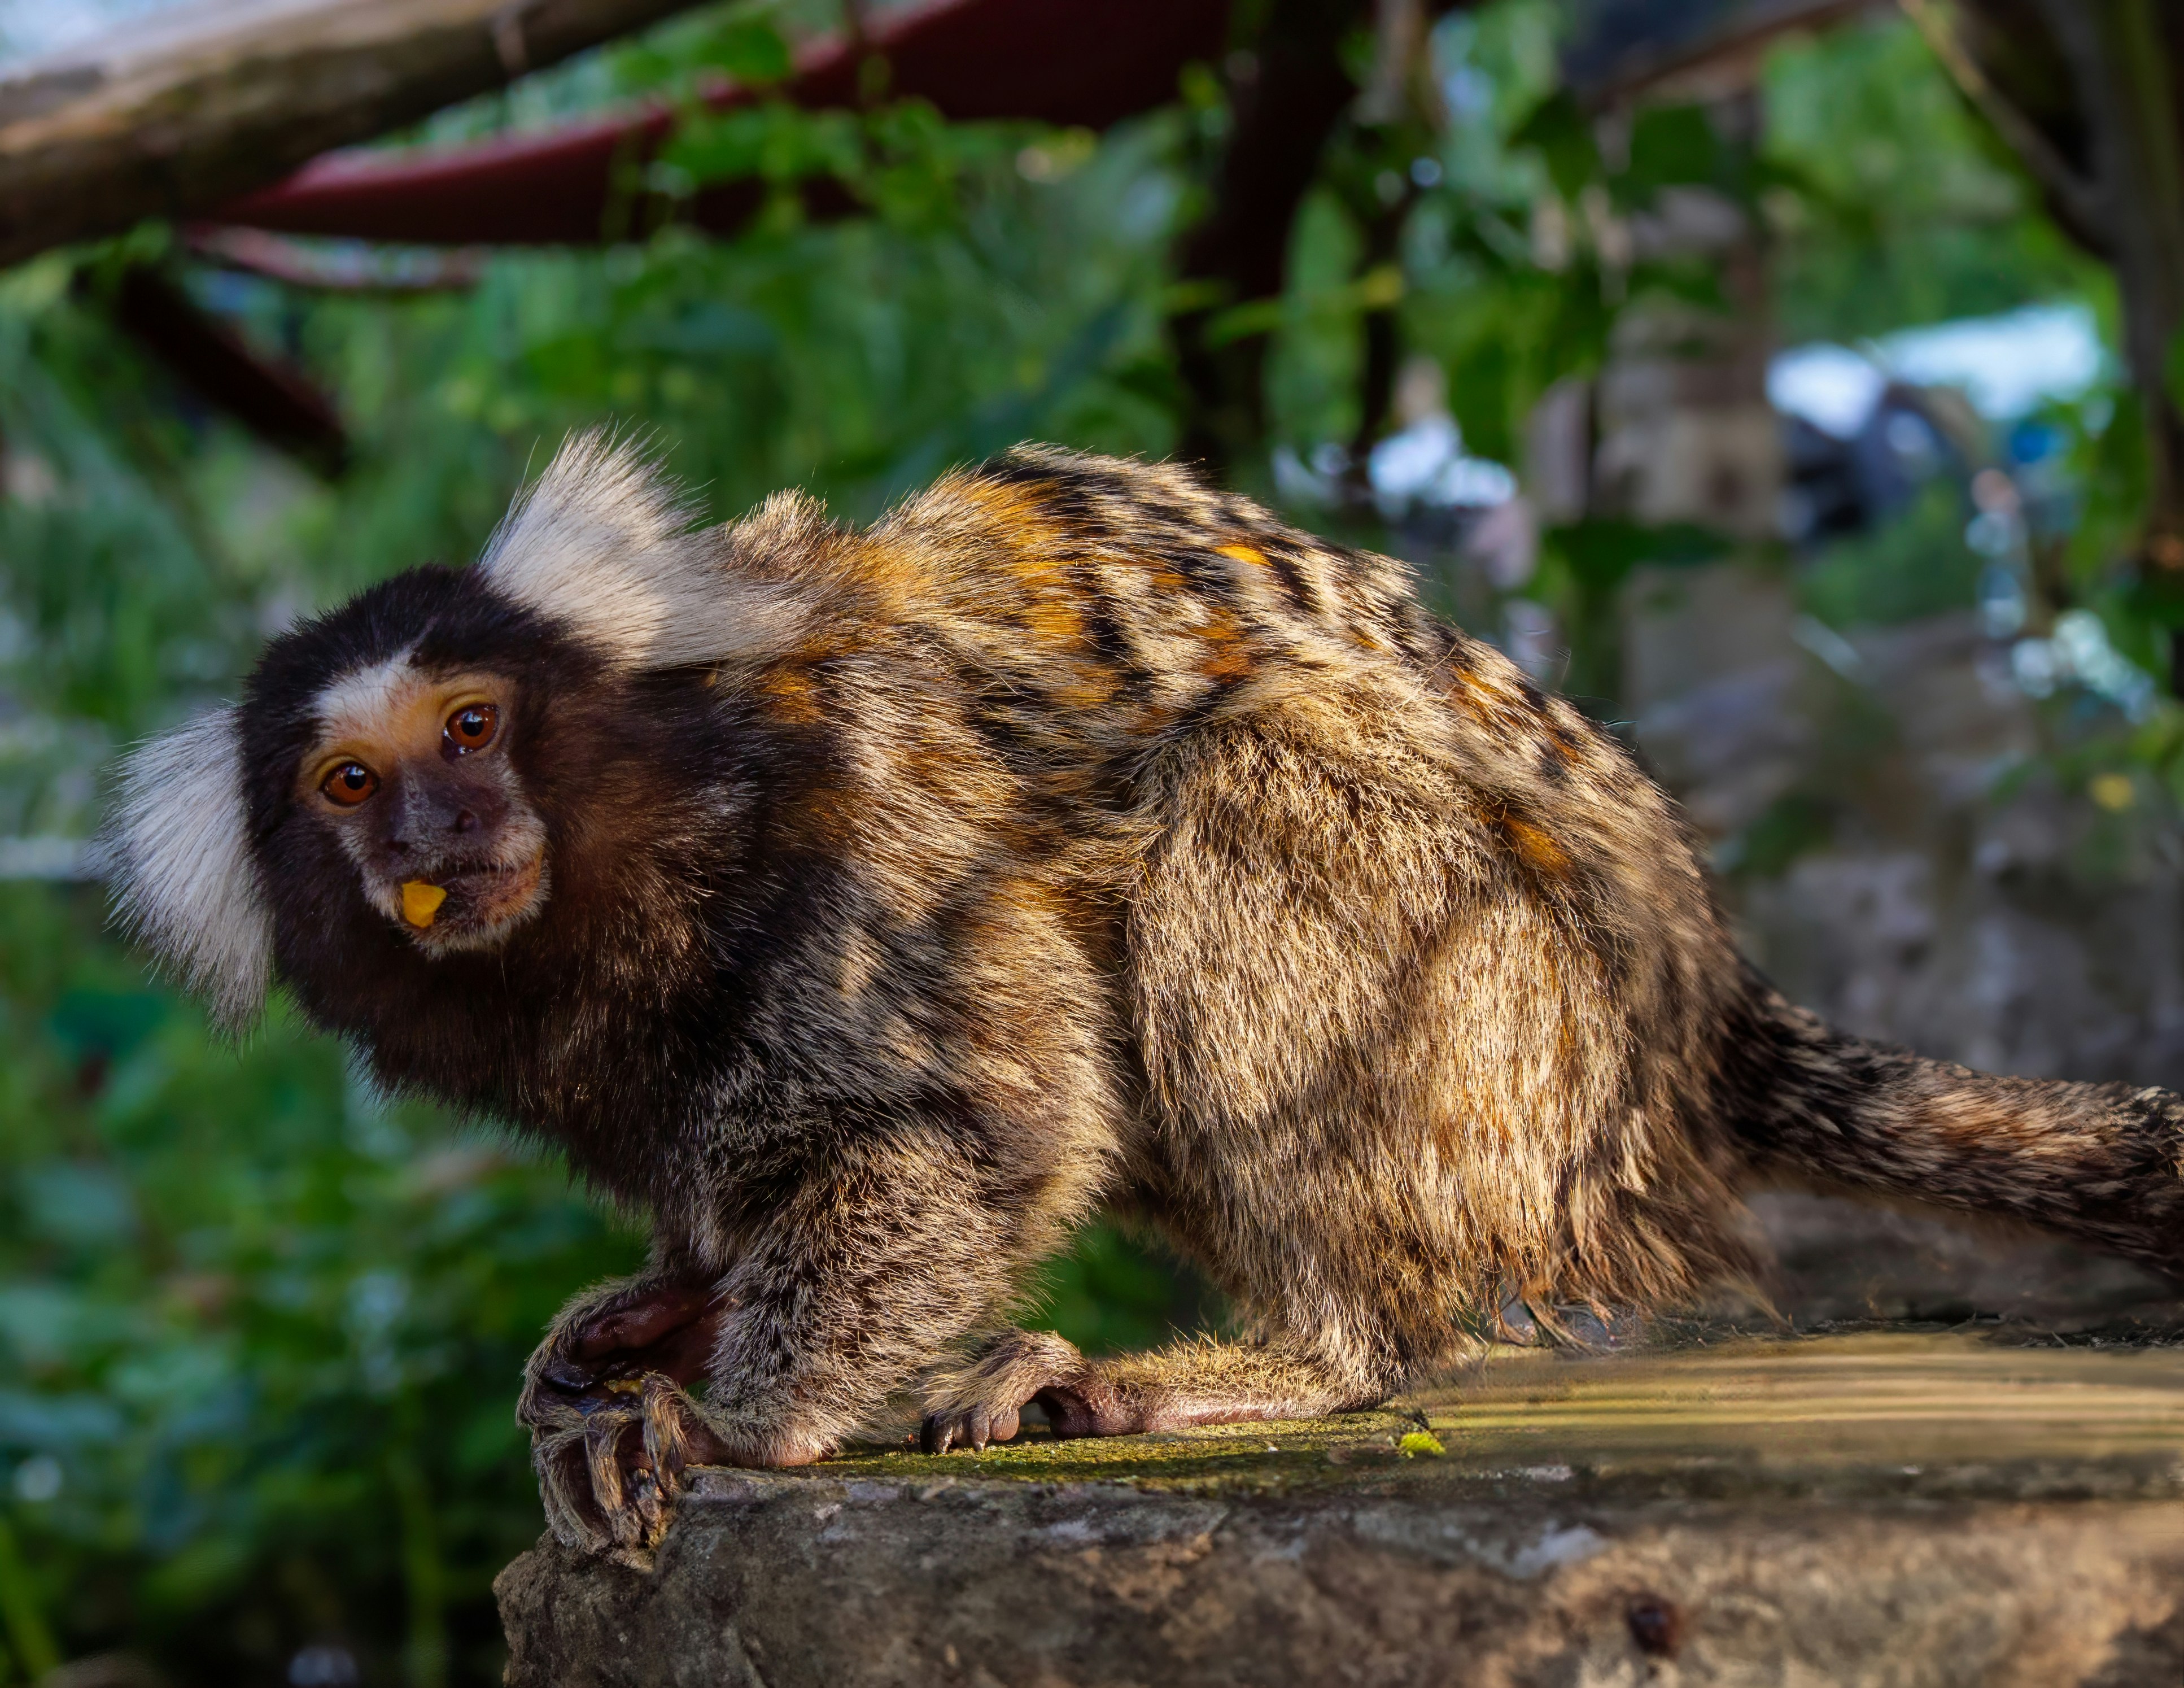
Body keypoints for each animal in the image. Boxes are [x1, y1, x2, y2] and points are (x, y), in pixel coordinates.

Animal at [103, 434, 2184, 1562]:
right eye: (346, 782)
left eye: (470, 725)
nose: (435, 829)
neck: (649, 854)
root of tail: (1694, 998)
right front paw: (637, 1325)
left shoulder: (870, 834)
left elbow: (981, 1116)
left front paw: (737, 1419)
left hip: (1521, 1020)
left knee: (1239, 790)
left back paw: (1298, 1355)